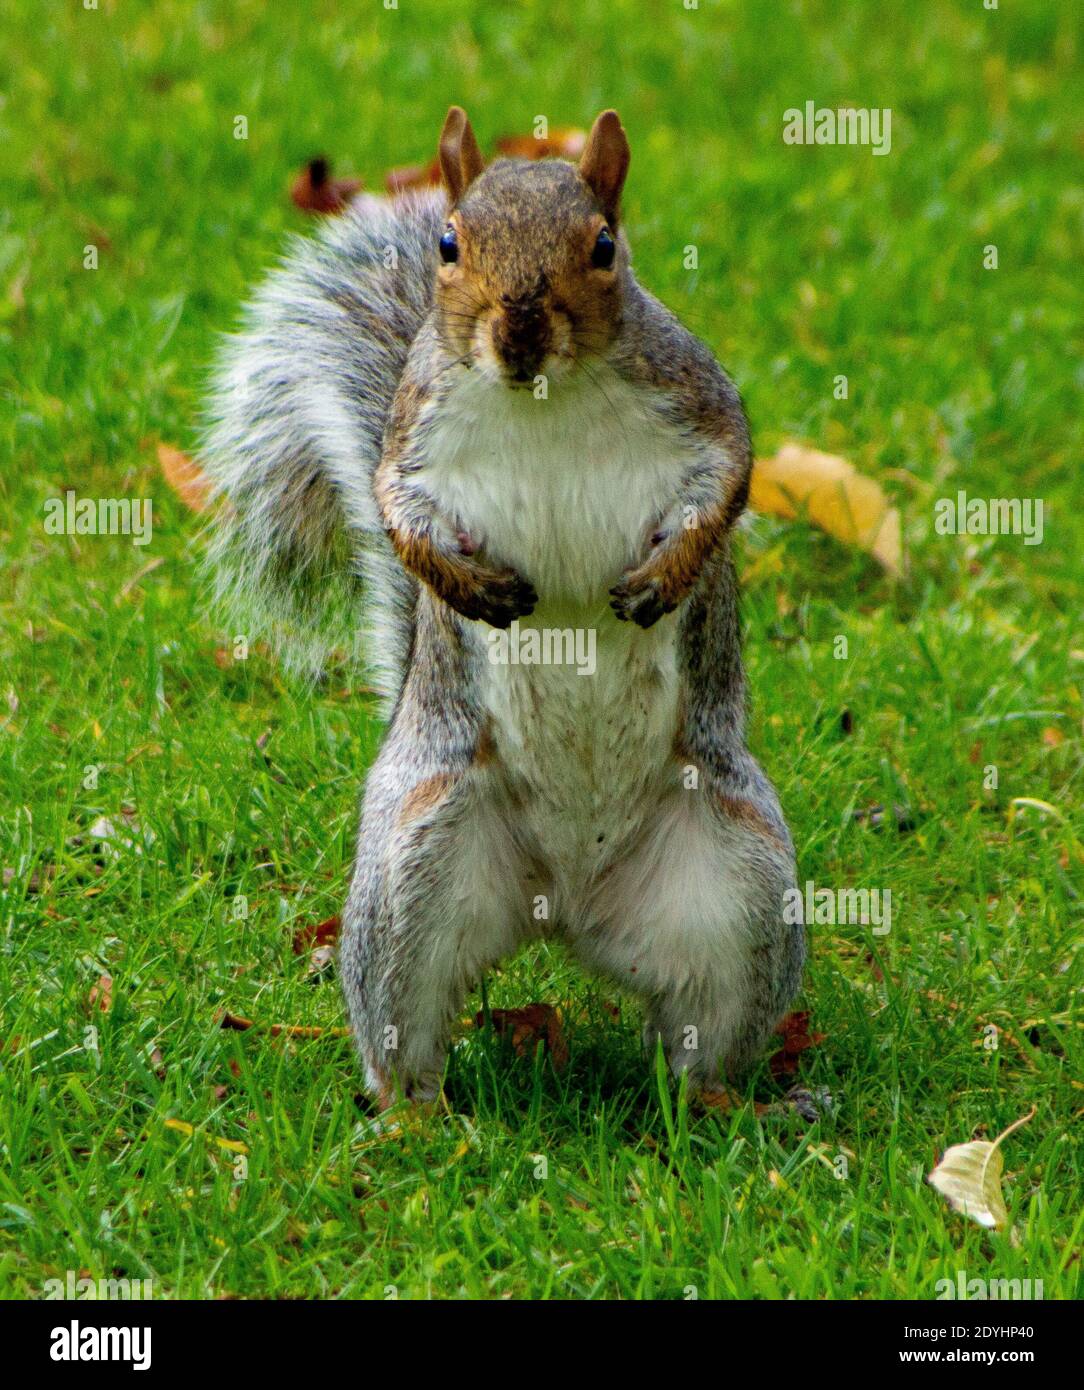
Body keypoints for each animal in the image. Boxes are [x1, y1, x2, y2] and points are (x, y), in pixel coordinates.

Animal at [201, 108, 804, 1107]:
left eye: (604, 246)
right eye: (449, 244)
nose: (518, 335)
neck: (544, 401)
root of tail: (569, 901)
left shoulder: (701, 403)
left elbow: (728, 482)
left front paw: (665, 577)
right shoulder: (412, 436)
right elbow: (400, 516)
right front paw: (468, 588)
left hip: (742, 878)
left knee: (704, 1034)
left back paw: (725, 1105)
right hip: (415, 863)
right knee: (402, 1024)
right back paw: (415, 1116)